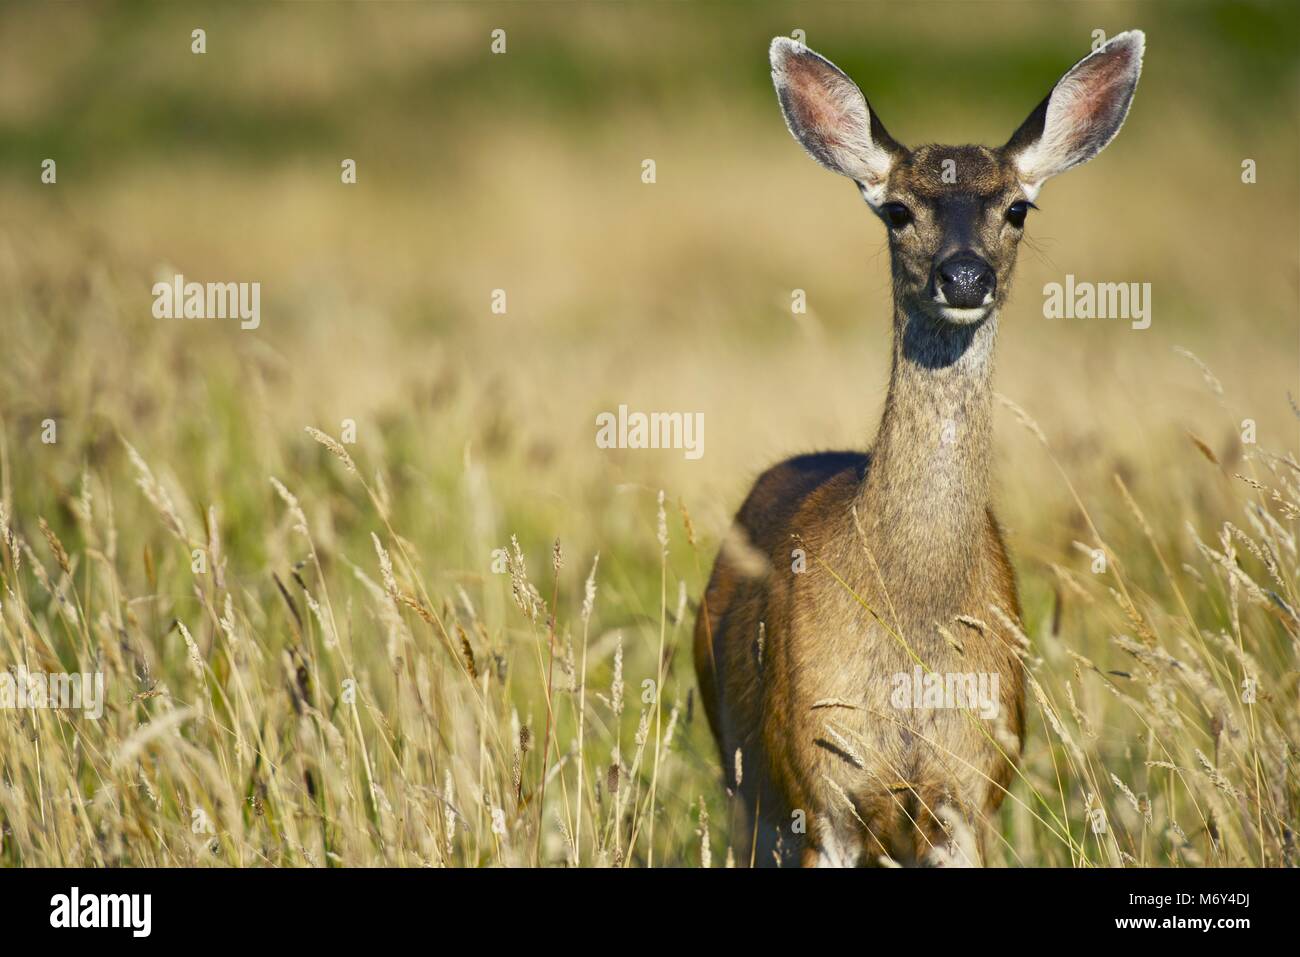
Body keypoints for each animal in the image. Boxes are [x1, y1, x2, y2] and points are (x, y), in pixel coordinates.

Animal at [693, 31, 1143, 866]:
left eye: (1018, 207)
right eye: (897, 209)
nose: (964, 275)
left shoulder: (972, 792)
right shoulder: (819, 785)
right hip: (746, 782)